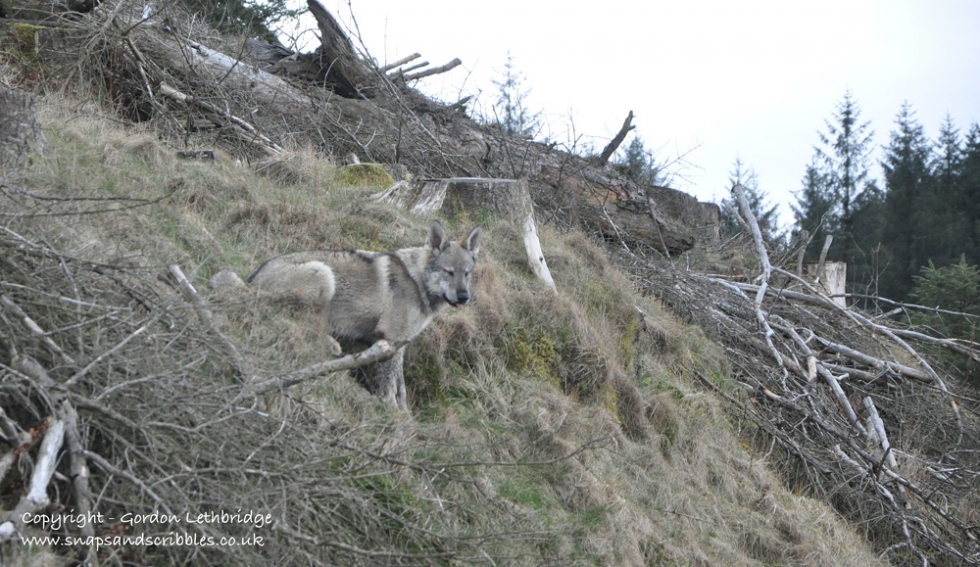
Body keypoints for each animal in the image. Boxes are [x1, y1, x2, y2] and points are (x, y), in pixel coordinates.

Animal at [212, 222, 482, 410]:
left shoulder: (399, 344)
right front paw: (390, 410)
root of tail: (252, 278)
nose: (464, 296)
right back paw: (331, 345)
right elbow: (390, 384)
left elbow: (401, 387)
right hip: (323, 275)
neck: (418, 282)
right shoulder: (390, 339)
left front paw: (404, 415)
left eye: (466, 274)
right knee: (295, 320)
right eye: (448, 272)